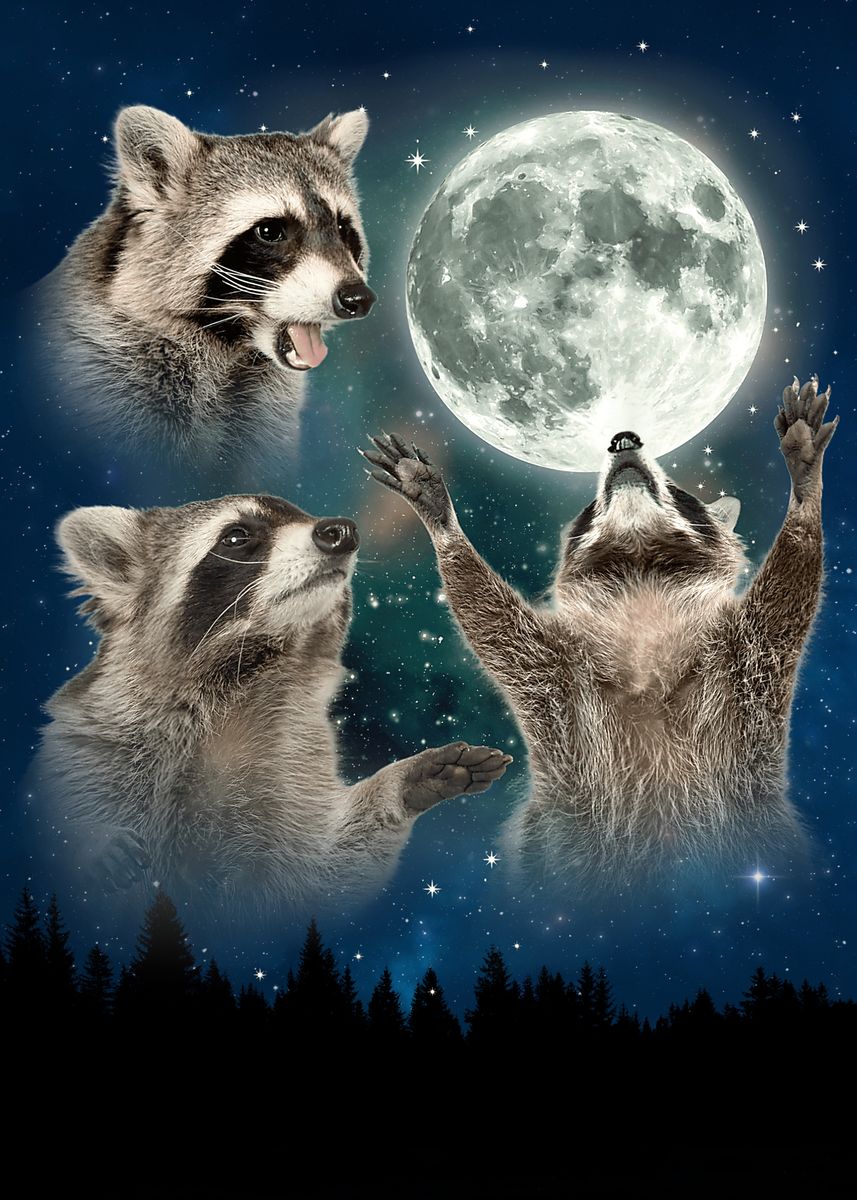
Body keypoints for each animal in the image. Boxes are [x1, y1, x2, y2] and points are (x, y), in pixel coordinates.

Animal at [32, 493, 510, 915]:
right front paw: (87, 844)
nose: (342, 531)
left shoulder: (290, 766)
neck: (244, 675)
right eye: (236, 535)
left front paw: (402, 781)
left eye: (304, 514)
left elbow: (319, 872)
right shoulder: (94, 743)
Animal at [364, 378, 838, 889]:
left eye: (677, 489)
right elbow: (492, 621)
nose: (624, 439)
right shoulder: (555, 673)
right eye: (593, 504)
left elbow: (787, 592)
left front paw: (804, 482)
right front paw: (440, 517)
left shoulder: (747, 653)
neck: (641, 580)